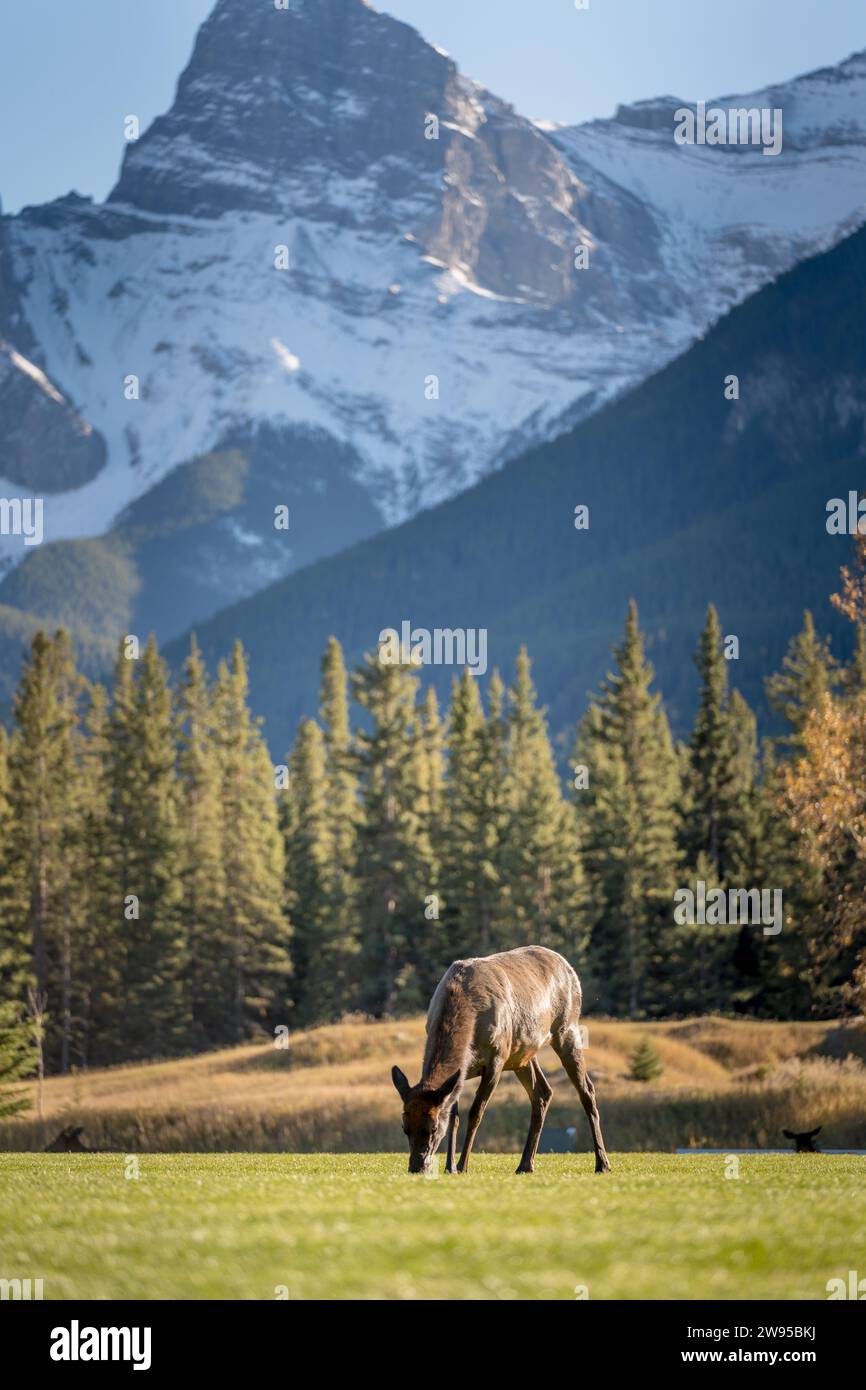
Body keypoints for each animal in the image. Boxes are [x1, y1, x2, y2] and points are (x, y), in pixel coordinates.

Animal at [391, 945, 610, 1176]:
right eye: (405, 1127)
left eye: (433, 1128)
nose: (416, 1167)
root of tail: (568, 966)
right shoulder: (459, 1074)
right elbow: (453, 1116)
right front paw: (450, 1167)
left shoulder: (496, 1060)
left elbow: (476, 1113)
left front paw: (462, 1166)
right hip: (522, 1054)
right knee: (543, 1093)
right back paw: (526, 1165)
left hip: (567, 1029)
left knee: (587, 1090)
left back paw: (602, 1163)